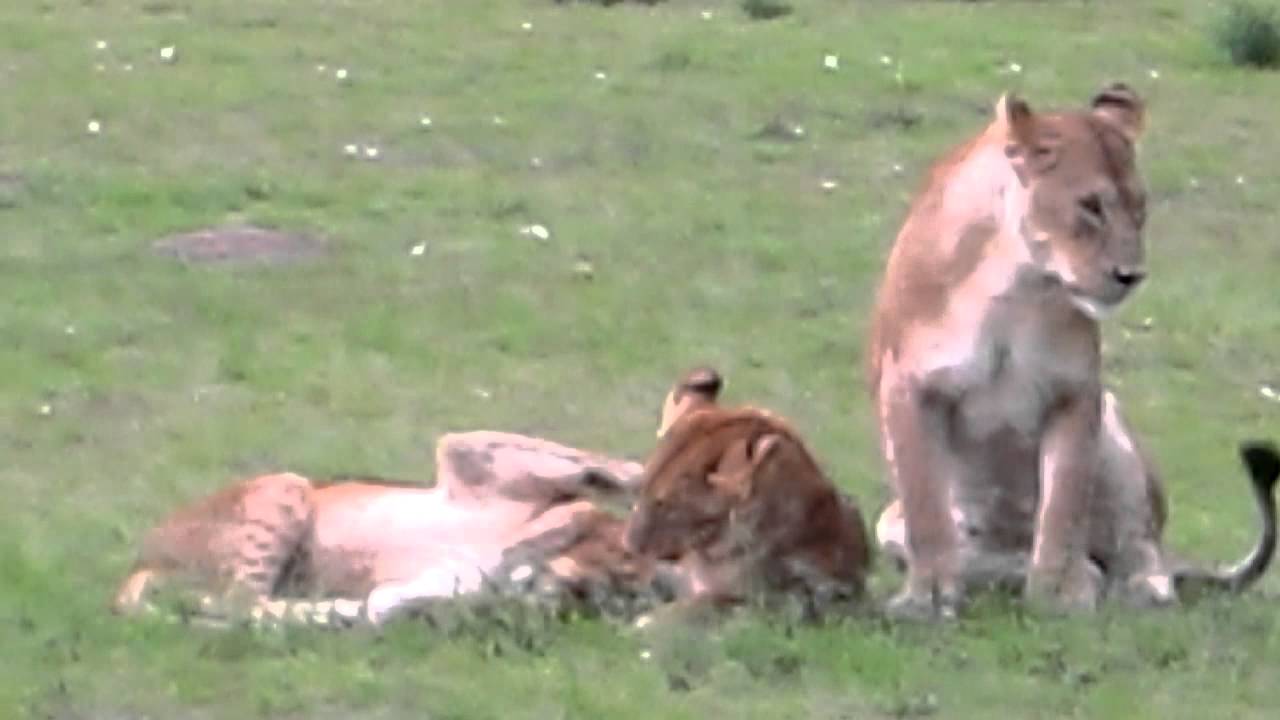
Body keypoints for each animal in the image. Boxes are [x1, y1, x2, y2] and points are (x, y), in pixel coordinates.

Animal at [112, 432, 679, 628]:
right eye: (615, 577)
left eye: (602, 594)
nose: (560, 589)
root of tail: (140, 558)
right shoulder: (466, 453)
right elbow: (591, 465)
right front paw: (632, 476)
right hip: (286, 486)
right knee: (234, 601)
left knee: (234, 606)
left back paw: (340, 612)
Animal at [865, 82, 1279, 619]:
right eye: (1091, 205)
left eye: (1139, 207)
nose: (1131, 275)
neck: (1015, 283)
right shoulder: (909, 386)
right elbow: (926, 507)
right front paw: (929, 597)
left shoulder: (1076, 390)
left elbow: (1063, 503)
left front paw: (1059, 594)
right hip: (887, 522)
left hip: (1117, 434)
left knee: (1142, 548)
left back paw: (1133, 585)